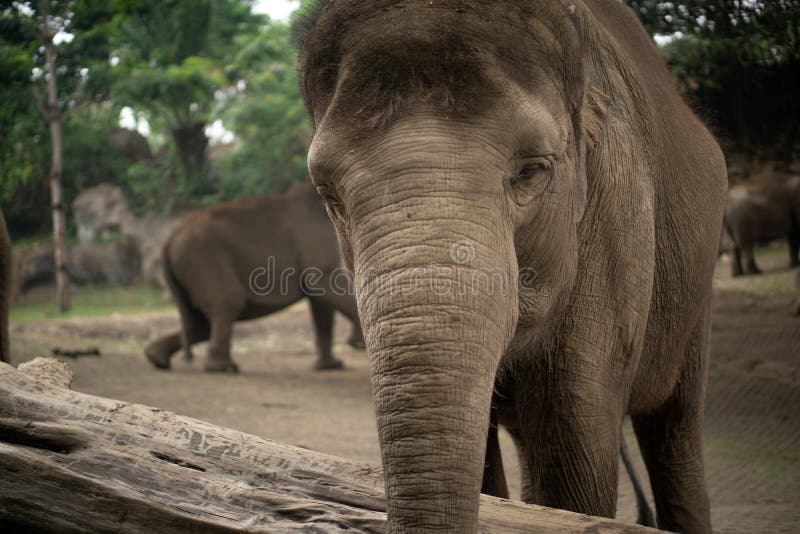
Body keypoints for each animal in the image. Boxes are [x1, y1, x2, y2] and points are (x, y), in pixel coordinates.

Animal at [144, 184, 364, 373]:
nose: (355, 342)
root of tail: (168, 241)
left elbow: (320, 302)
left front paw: (331, 366)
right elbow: (324, 286)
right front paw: (353, 349)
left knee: (199, 324)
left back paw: (157, 358)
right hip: (203, 261)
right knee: (228, 304)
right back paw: (223, 368)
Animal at [296, 1, 727, 533]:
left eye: (531, 171)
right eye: (329, 195)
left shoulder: (617, 210)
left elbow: (572, 457)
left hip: (697, 290)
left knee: (675, 430)